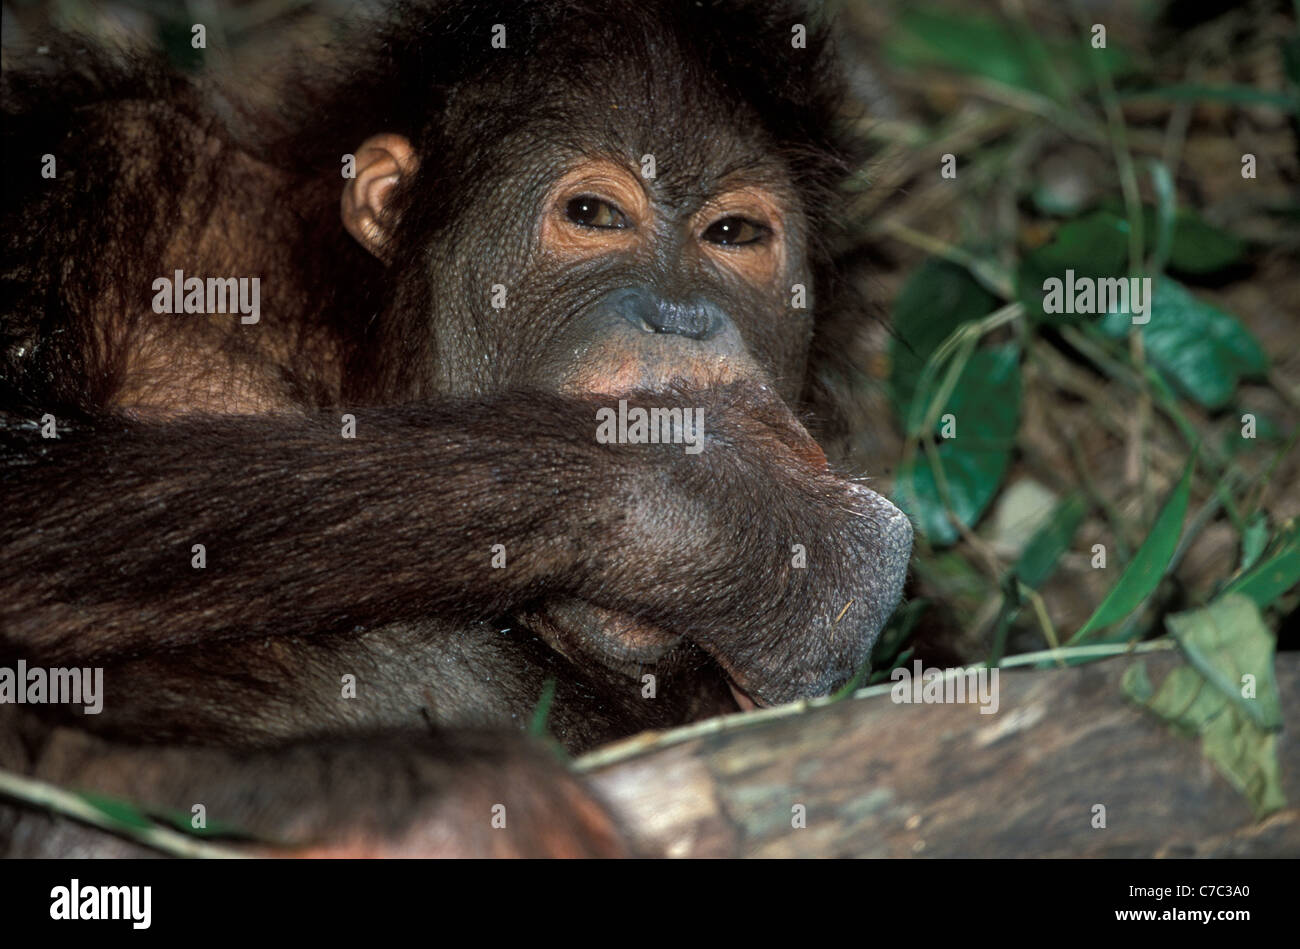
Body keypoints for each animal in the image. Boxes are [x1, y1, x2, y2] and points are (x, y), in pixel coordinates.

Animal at [0, 0, 911, 856]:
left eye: (733, 235)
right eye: (593, 213)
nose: (680, 317)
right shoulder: (113, 163)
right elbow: (23, 484)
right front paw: (738, 517)